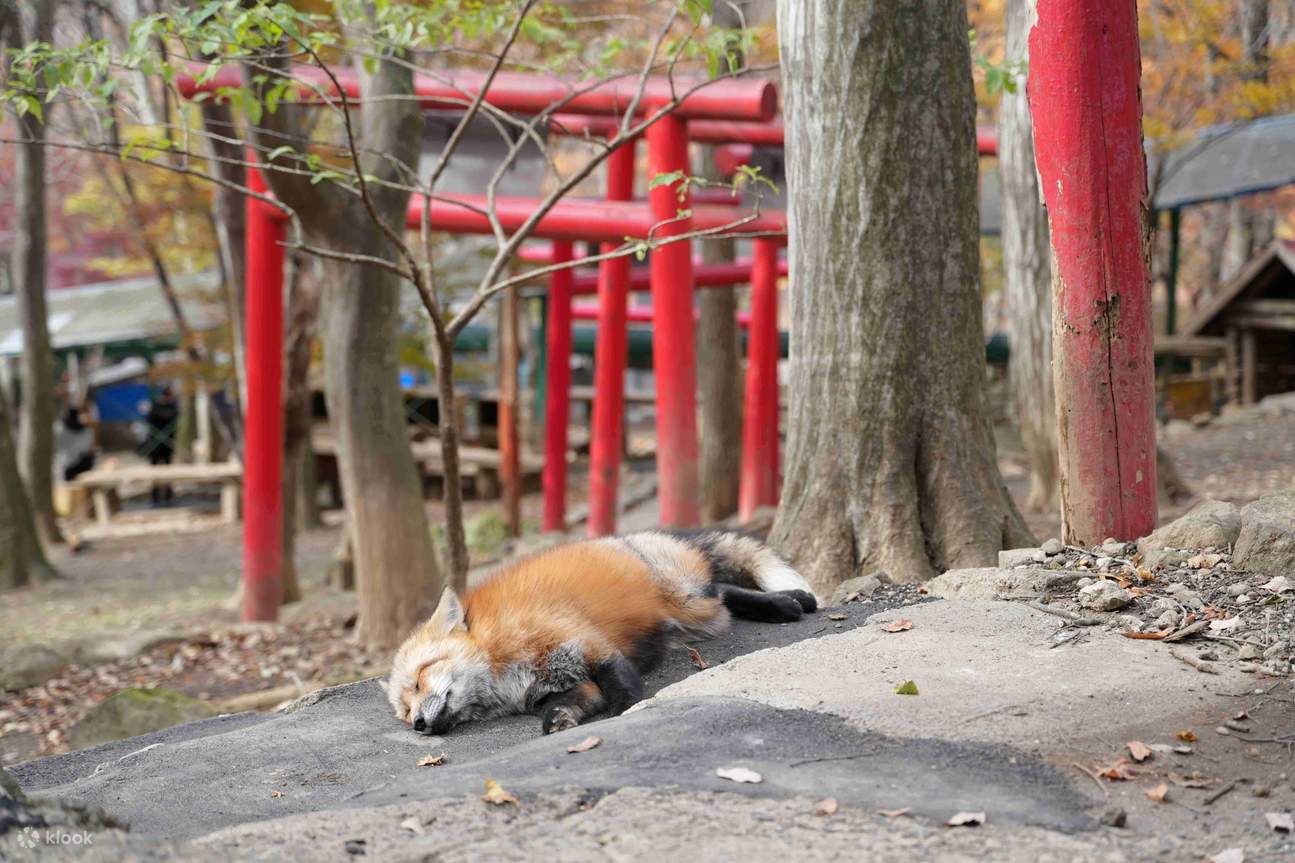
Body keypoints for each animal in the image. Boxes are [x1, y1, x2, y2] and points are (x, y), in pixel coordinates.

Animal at [385, 530, 817, 736]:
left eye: (421, 679)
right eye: (405, 712)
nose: (419, 724)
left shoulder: (588, 644)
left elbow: (621, 687)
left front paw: (626, 713)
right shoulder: (557, 686)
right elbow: (570, 704)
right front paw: (561, 722)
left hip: (688, 601)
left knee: (723, 590)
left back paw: (788, 603)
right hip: (690, 619)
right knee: (725, 594)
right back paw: (791, 601)